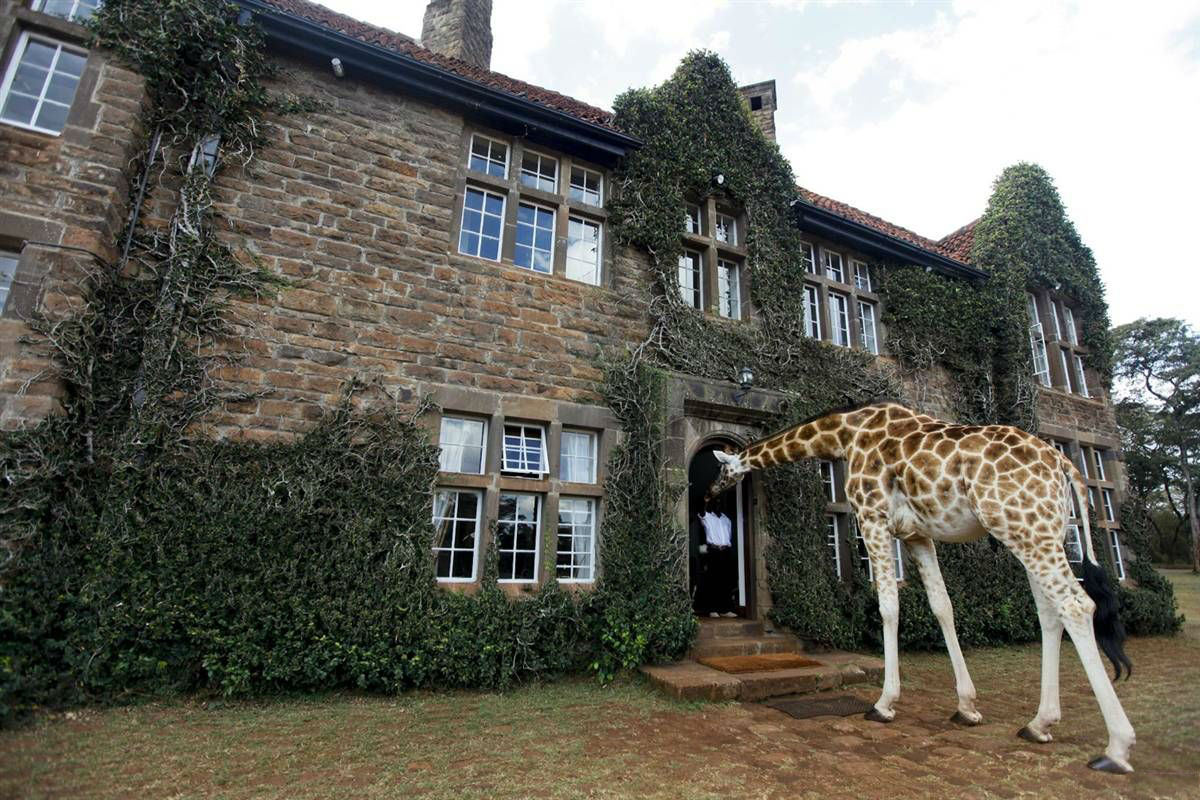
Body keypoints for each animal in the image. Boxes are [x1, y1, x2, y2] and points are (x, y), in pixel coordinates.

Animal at [704, 401, 1136, 773]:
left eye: (723, 470)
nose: (709, 492)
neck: (845, 433)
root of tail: (1065, 464)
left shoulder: (873, 518)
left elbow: (889, 607)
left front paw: (883, 704)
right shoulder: (917, 535)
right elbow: (942, 605)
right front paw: (967, 707)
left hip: (1025, 528)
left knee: (1076, 605)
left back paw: (1116, 748)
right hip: (1038, 531)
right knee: (1050, 613)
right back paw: (1039, 724)